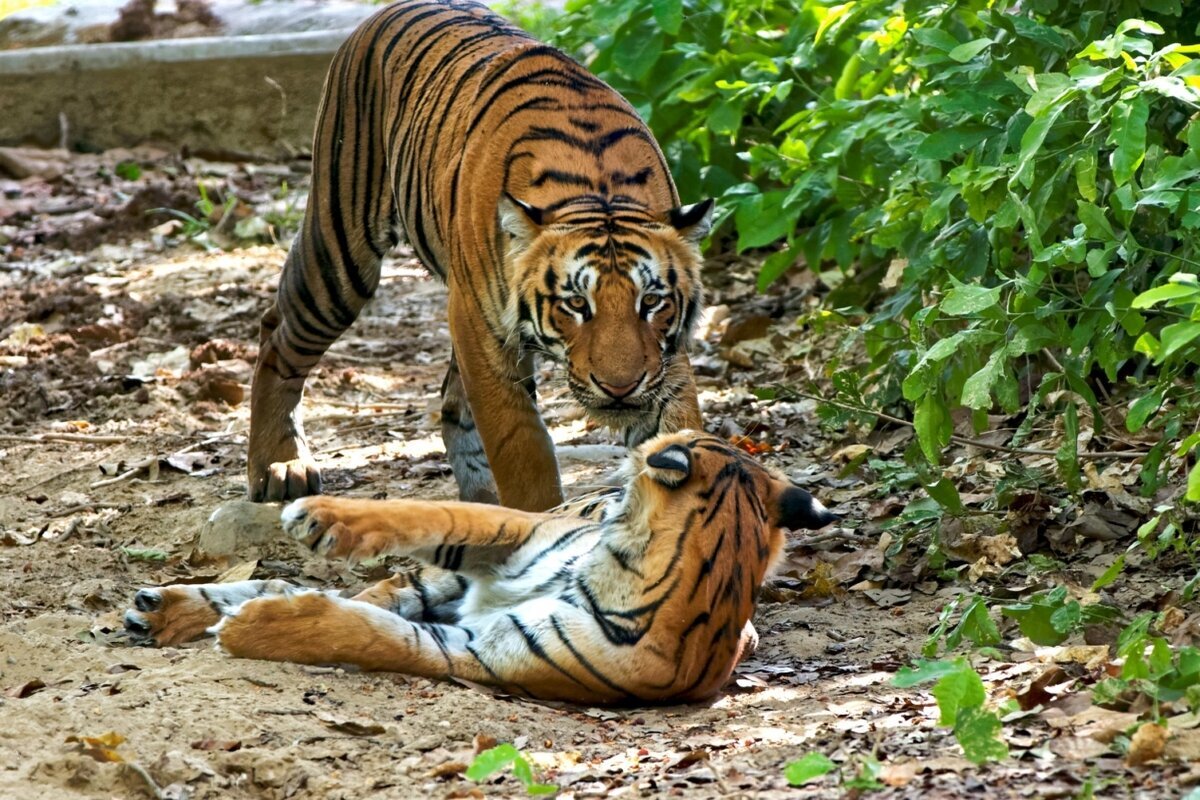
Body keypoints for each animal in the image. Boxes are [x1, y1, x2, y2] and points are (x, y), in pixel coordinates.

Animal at [124, 432, 839, 704]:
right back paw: (163, 612)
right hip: (455, 569)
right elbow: (435, 514)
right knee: (376, 585)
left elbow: (367, 634)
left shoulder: (475, 649)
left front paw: (255, 630)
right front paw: (320, 515)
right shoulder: (520, 531)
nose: (609, 481)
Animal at [248, 0, 713, 511]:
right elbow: (523, 451)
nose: (620, 388)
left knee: (452, 399)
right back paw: (280, 467)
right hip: (341, 254)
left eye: (651, 302)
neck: (598, 191)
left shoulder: (664, 360)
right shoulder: (484, 332)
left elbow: (678, 431)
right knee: (277, 335)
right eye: (575, 304)